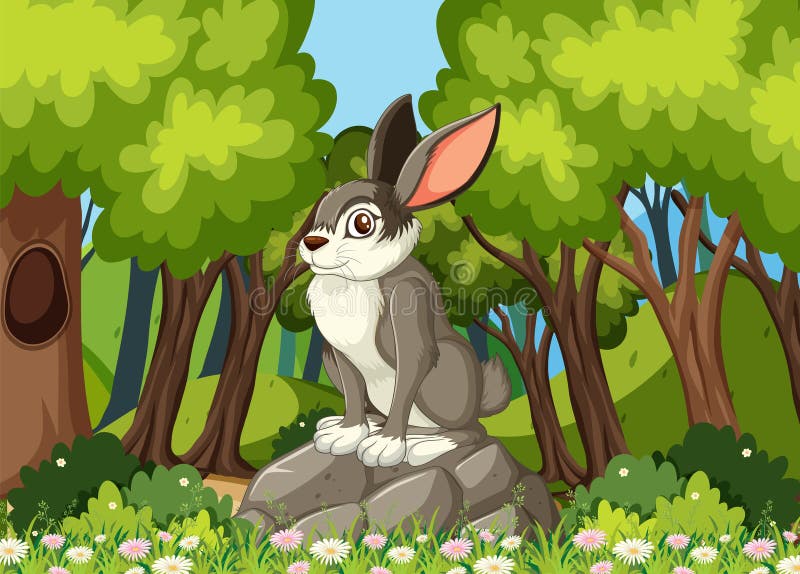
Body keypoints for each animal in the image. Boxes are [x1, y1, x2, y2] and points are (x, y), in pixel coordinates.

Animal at [298, 94, 511, 468]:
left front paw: (385, 447)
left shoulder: (407, 307)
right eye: (322, 207)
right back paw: (359, 425)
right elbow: (352, 392)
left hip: (448, 373)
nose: (311, 243)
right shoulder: (338, 352)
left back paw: (422, 445)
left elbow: (411, 369)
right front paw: (346, 434)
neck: (356, 278)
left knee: (471, 431)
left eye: (362, 223)